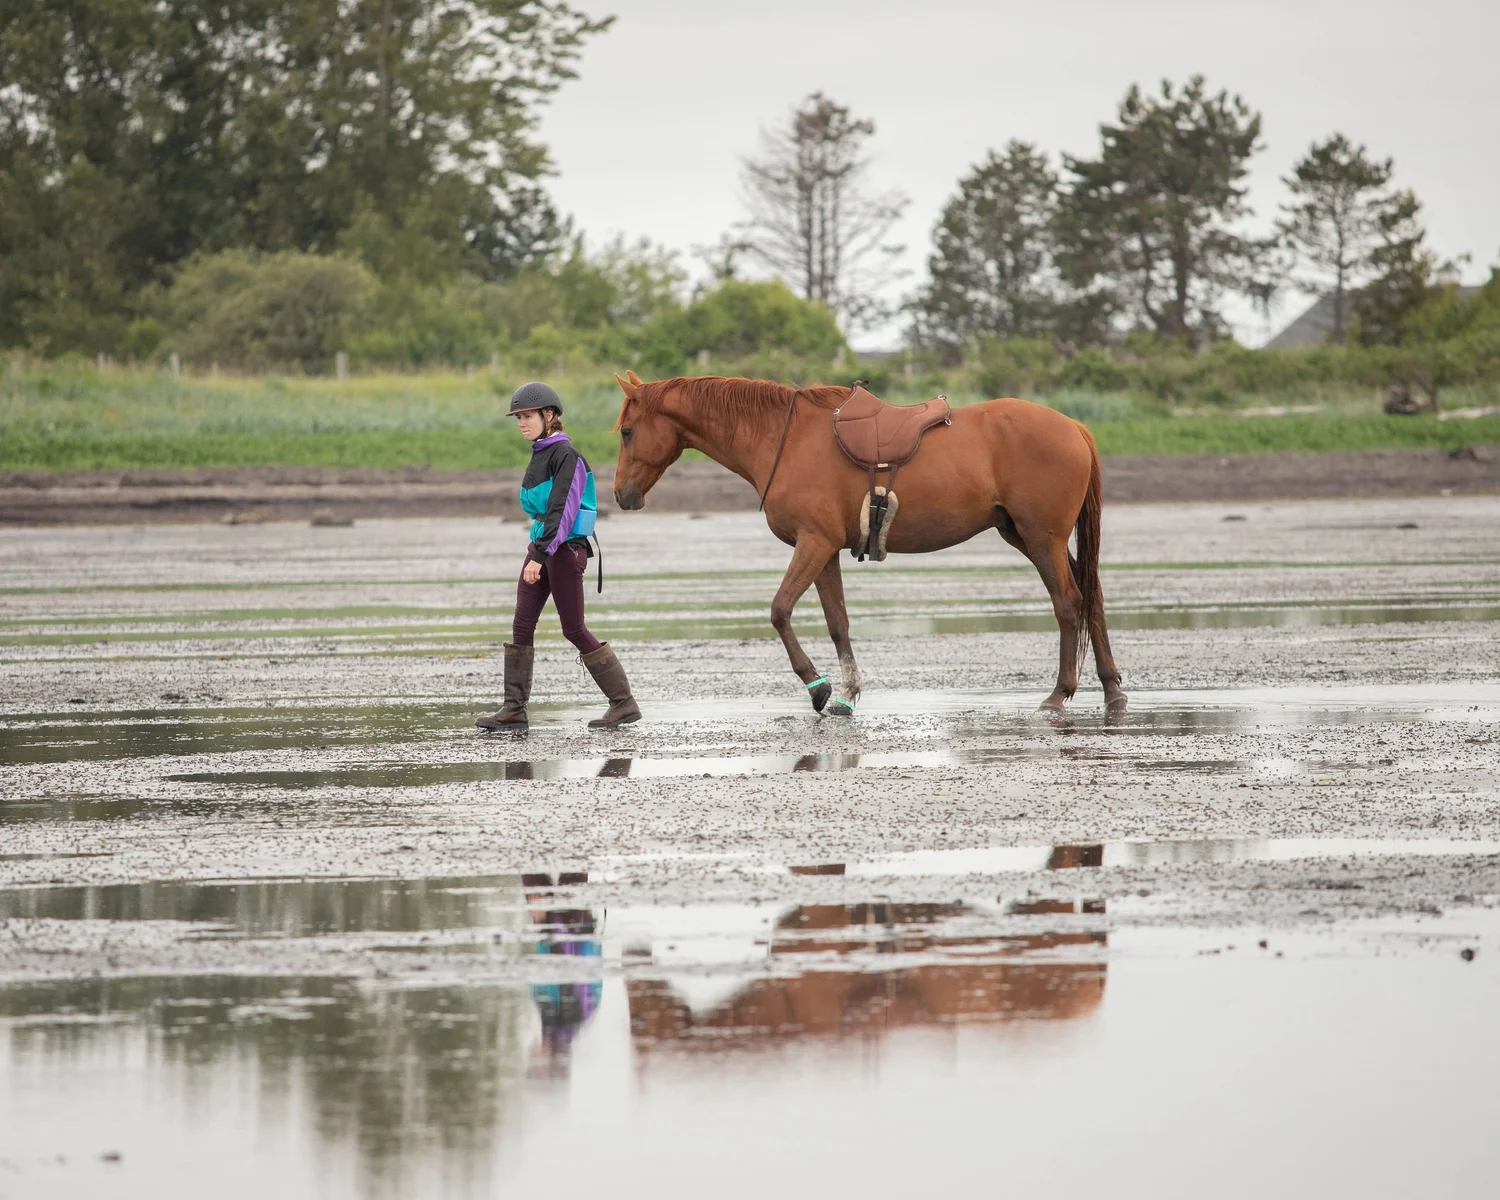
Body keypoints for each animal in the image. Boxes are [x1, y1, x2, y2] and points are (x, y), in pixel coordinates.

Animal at [610, 371, 1126, 716]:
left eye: (627, 431)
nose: (621, 494)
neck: (785, 439)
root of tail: (1073, 426)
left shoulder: (813, 544)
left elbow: (779, 611)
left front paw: (816, 686)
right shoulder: (824, 552)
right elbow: (837, 623)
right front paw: (845, 692)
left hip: (1042, 538)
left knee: (1068, 602)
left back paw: (1060, 693)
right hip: (1024, 534)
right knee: (1091, 597)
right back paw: (1111, 689)